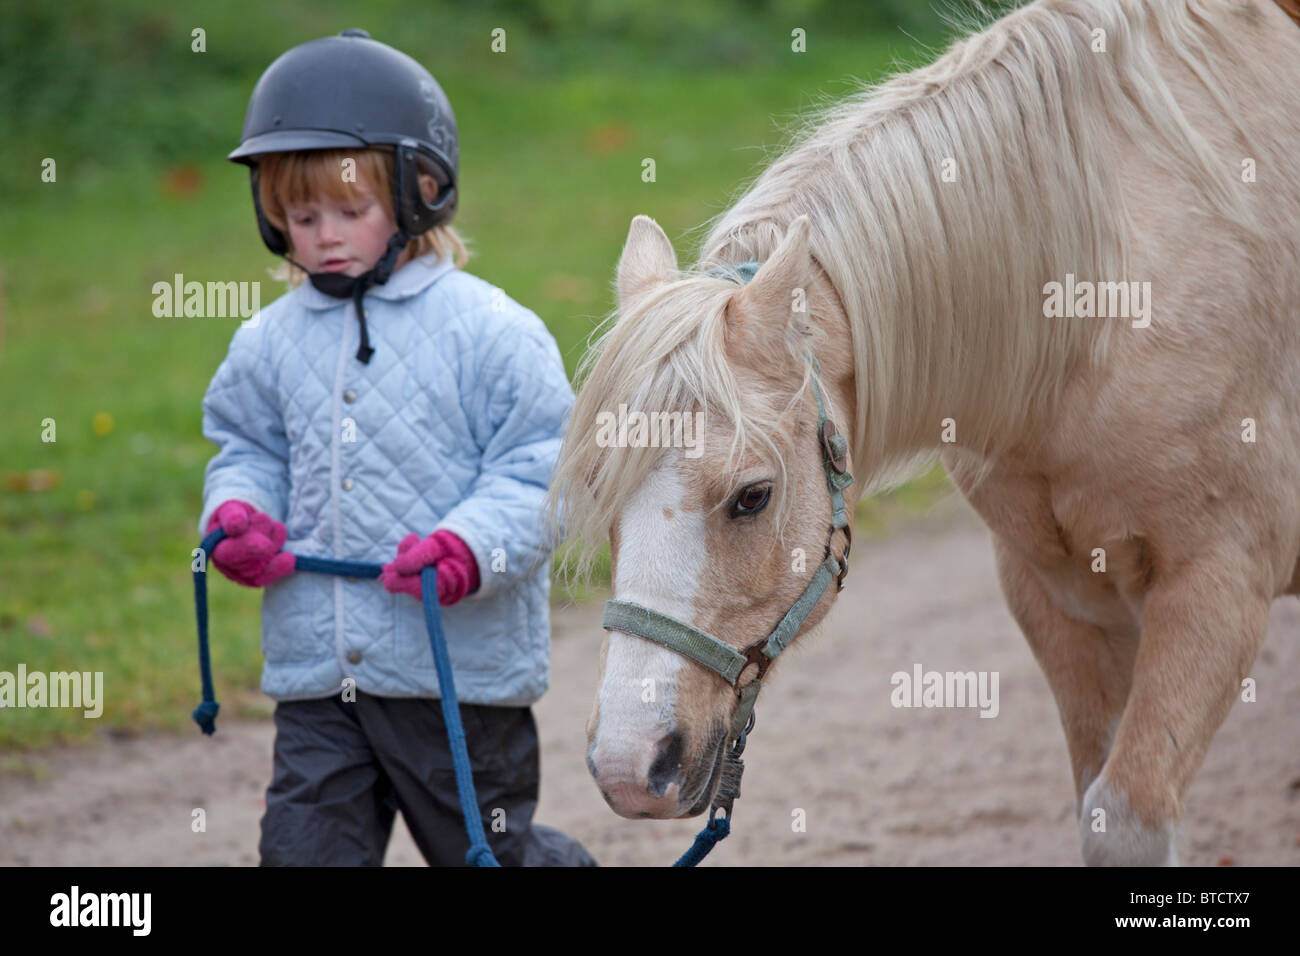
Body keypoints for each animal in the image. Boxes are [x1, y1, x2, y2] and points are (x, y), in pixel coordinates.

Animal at [546, 0, 1300, 865]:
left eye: (753, 497)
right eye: (600, 491)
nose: (629, 767)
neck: (1101, 299)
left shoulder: (1219, 581)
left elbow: (1129, 818)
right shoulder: (1060, 592)